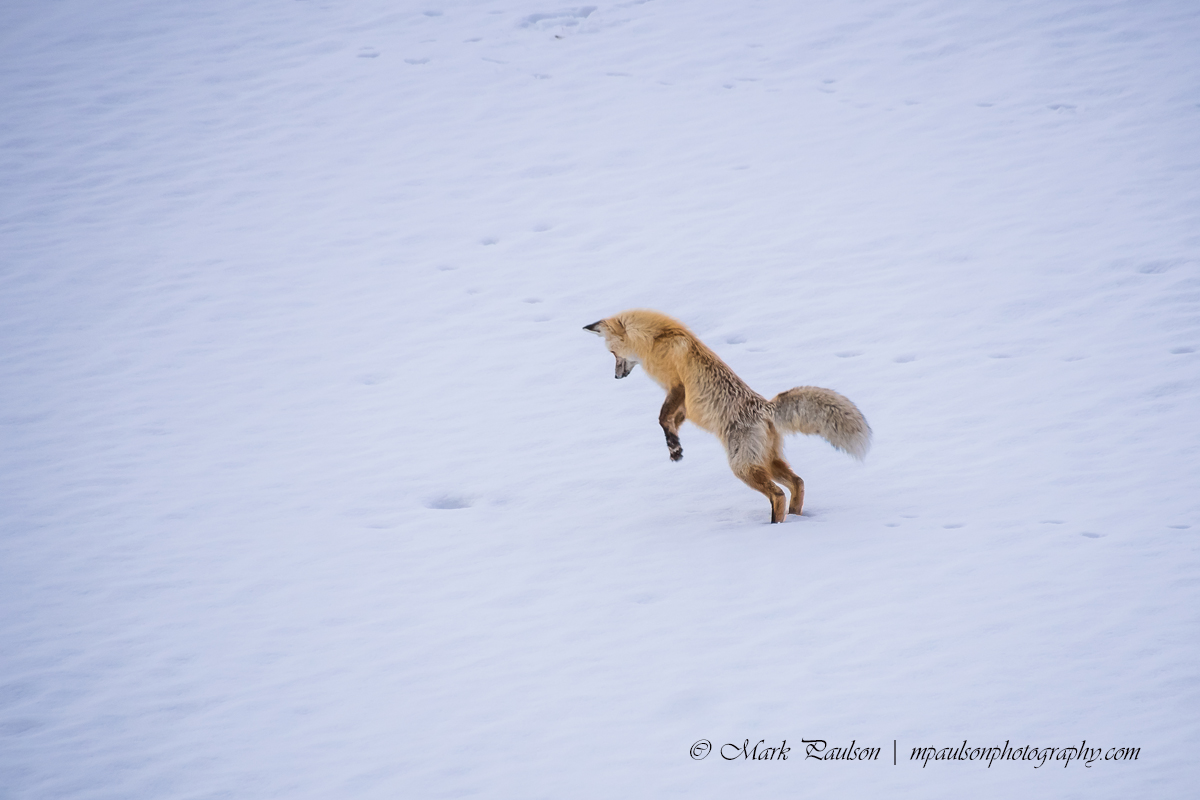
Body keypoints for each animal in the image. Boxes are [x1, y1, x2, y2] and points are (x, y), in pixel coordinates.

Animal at [584, 309, 871, 523]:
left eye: (612, 353)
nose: (616, 377)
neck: (657, 339)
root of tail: (765, 407)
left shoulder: (678, 387)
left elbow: (662, 418)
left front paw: (674, 447)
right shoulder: (685, 404)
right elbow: (673, 422)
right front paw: (675, 447)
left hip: (742, 466)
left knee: (778, 495)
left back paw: (775, 527)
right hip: (765, 461)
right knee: (797, 482)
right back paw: (797, 518)